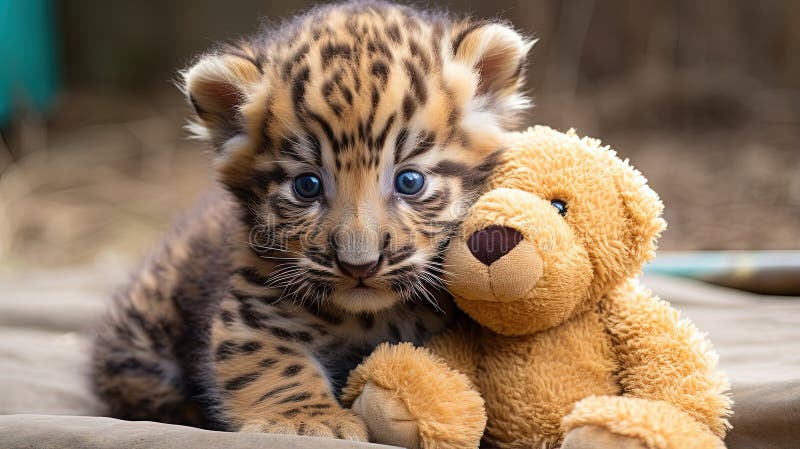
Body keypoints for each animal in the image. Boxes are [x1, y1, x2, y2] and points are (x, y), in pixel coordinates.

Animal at [91, 0, 533, 441]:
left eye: (410, 181)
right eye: (307, 186)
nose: (360, 265)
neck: (371, 318)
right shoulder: (250, 309)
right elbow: (269, 362)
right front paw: (305, 419)